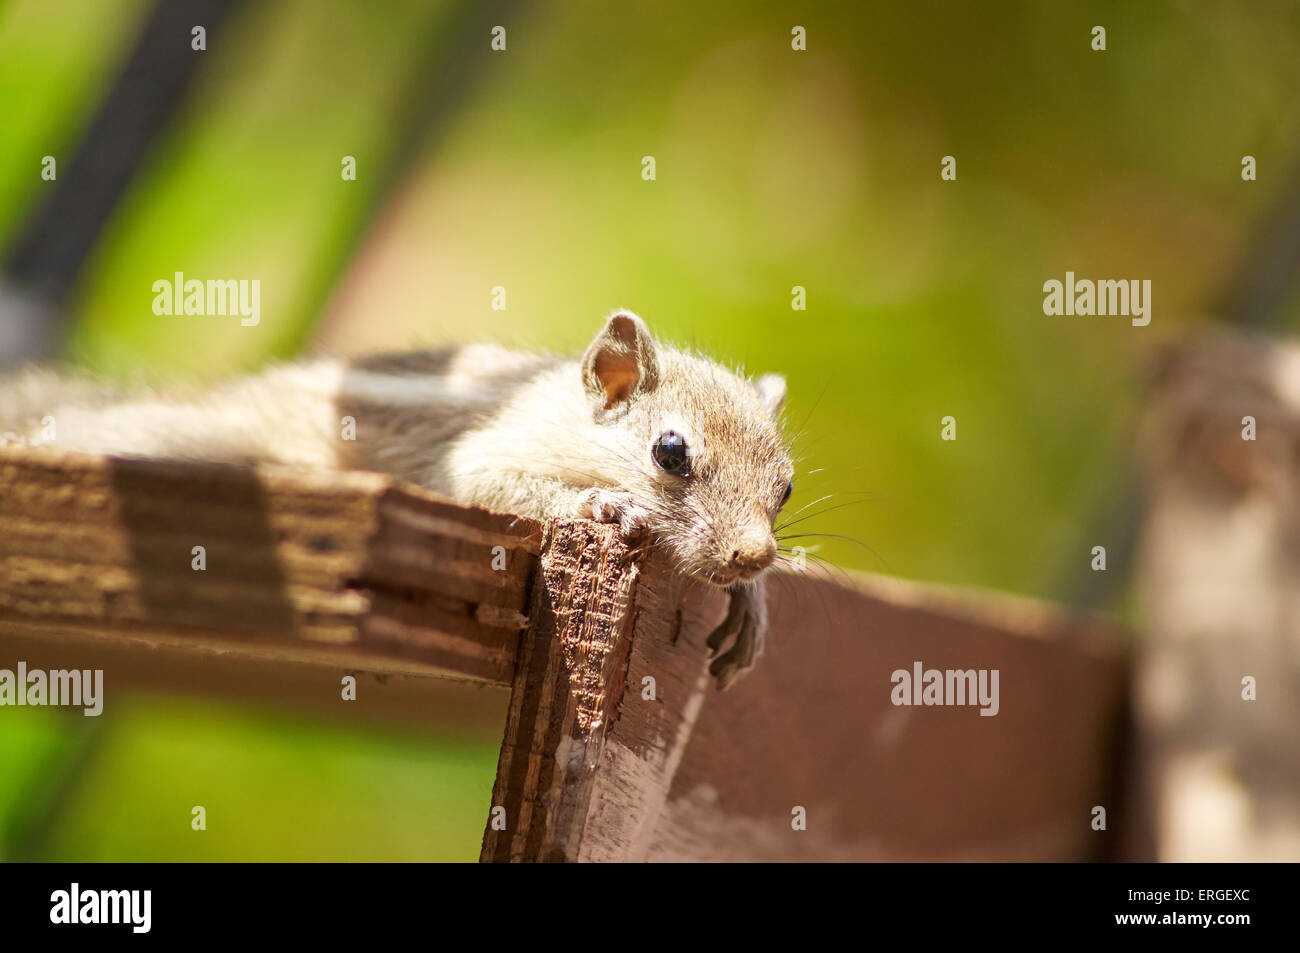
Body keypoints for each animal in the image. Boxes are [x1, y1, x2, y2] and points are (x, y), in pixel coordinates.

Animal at [0, 310, 795, 689]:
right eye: (671, 452)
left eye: (785, 487)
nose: (753, 554)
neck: (566, 414)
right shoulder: (482, 452)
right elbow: (488, 479)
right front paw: (602, 504)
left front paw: (755, 604)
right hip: (194, 439)